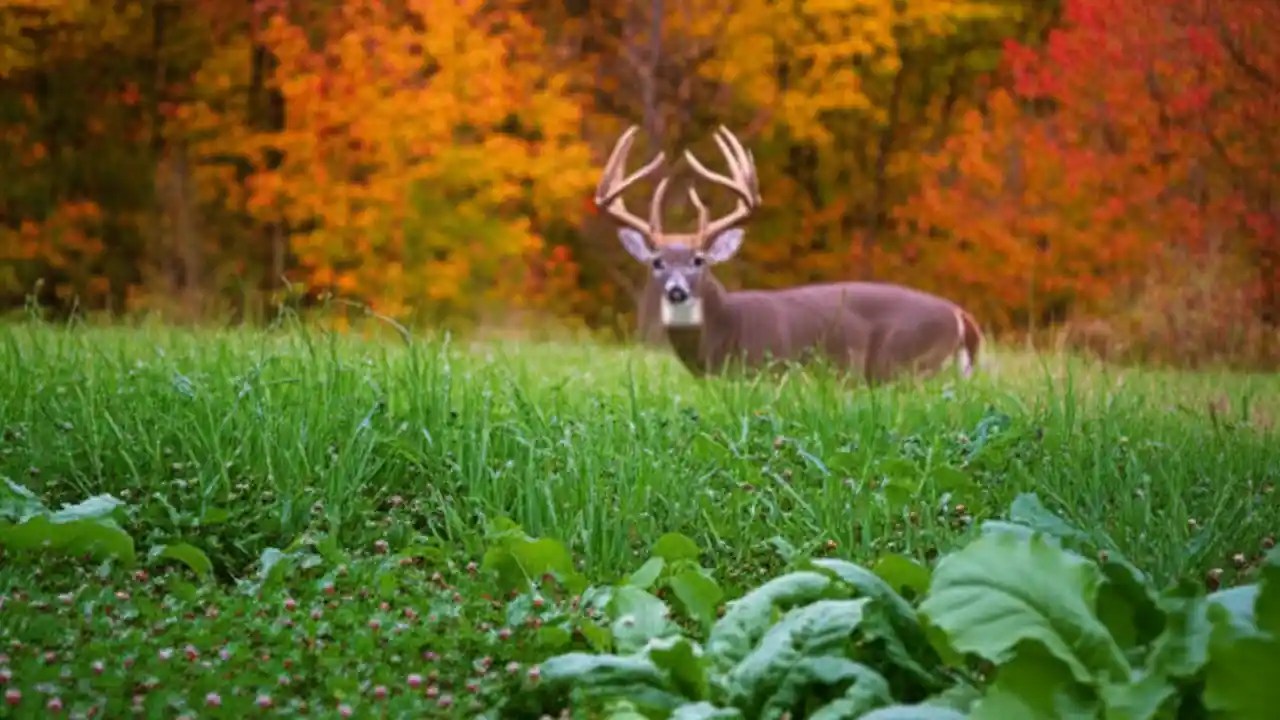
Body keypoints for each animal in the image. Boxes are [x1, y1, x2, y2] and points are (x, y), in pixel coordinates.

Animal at [594, 123, 984, 383]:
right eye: (658, 262)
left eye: (698, 260)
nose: (676, 290)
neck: (722, 334)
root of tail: (961, 315)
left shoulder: (768, 369)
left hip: (905, 360)